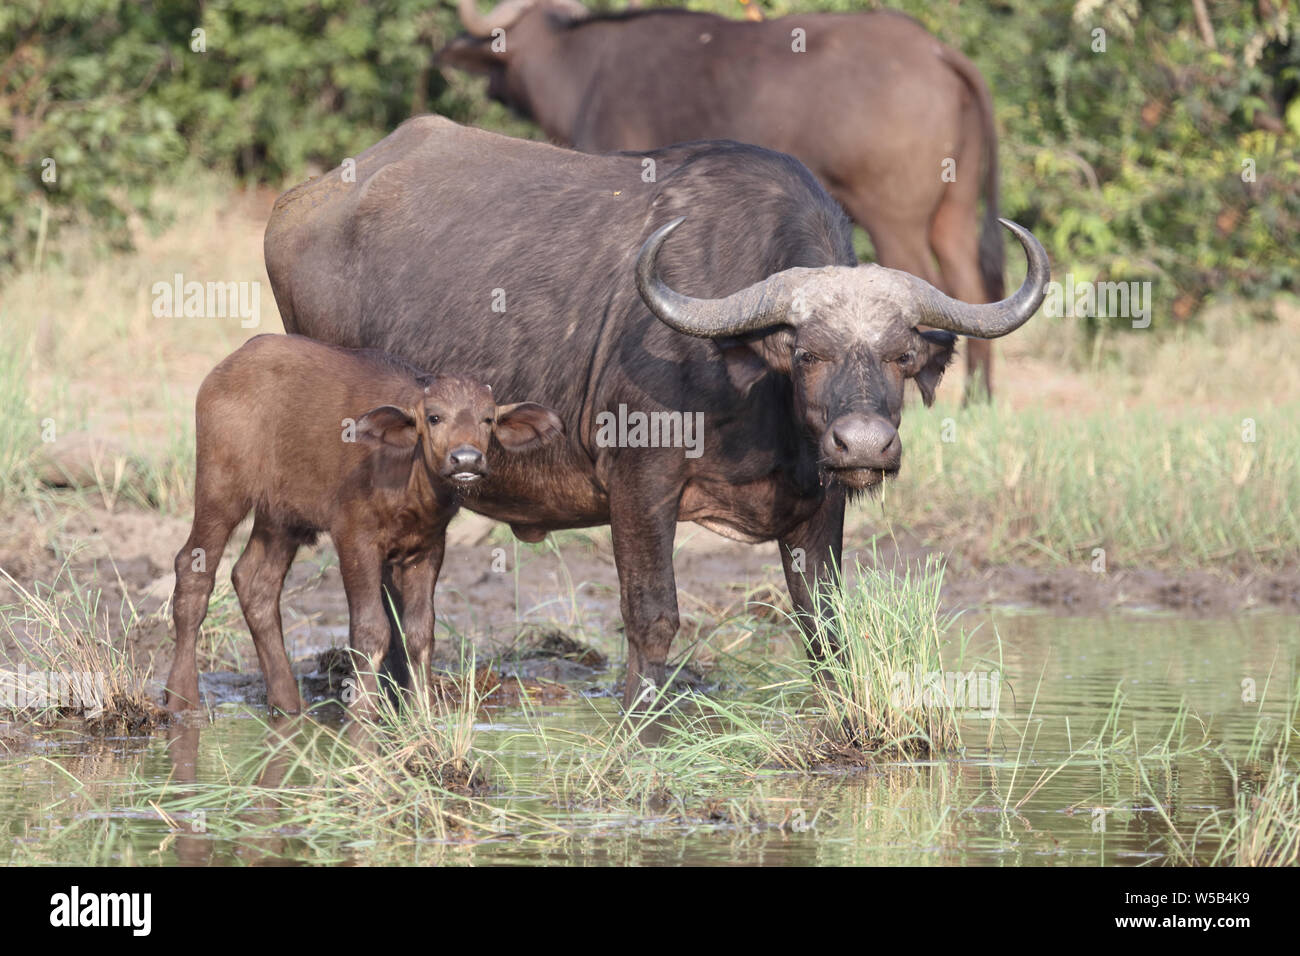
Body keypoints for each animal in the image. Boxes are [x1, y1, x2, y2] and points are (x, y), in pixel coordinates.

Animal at [264, 116, 1047, 709]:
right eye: (807, 352)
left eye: (901, 354)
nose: (862, 444)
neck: (748, 380)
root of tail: (299, 203)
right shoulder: (640, 484)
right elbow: (653, 617)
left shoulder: (820, 501)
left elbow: (823, 625)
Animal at [440, 1, 1006, 396]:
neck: (584, 67)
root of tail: (936, 51)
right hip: (953, 213)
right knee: (971, 289)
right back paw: (977, 398)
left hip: (893, 218)